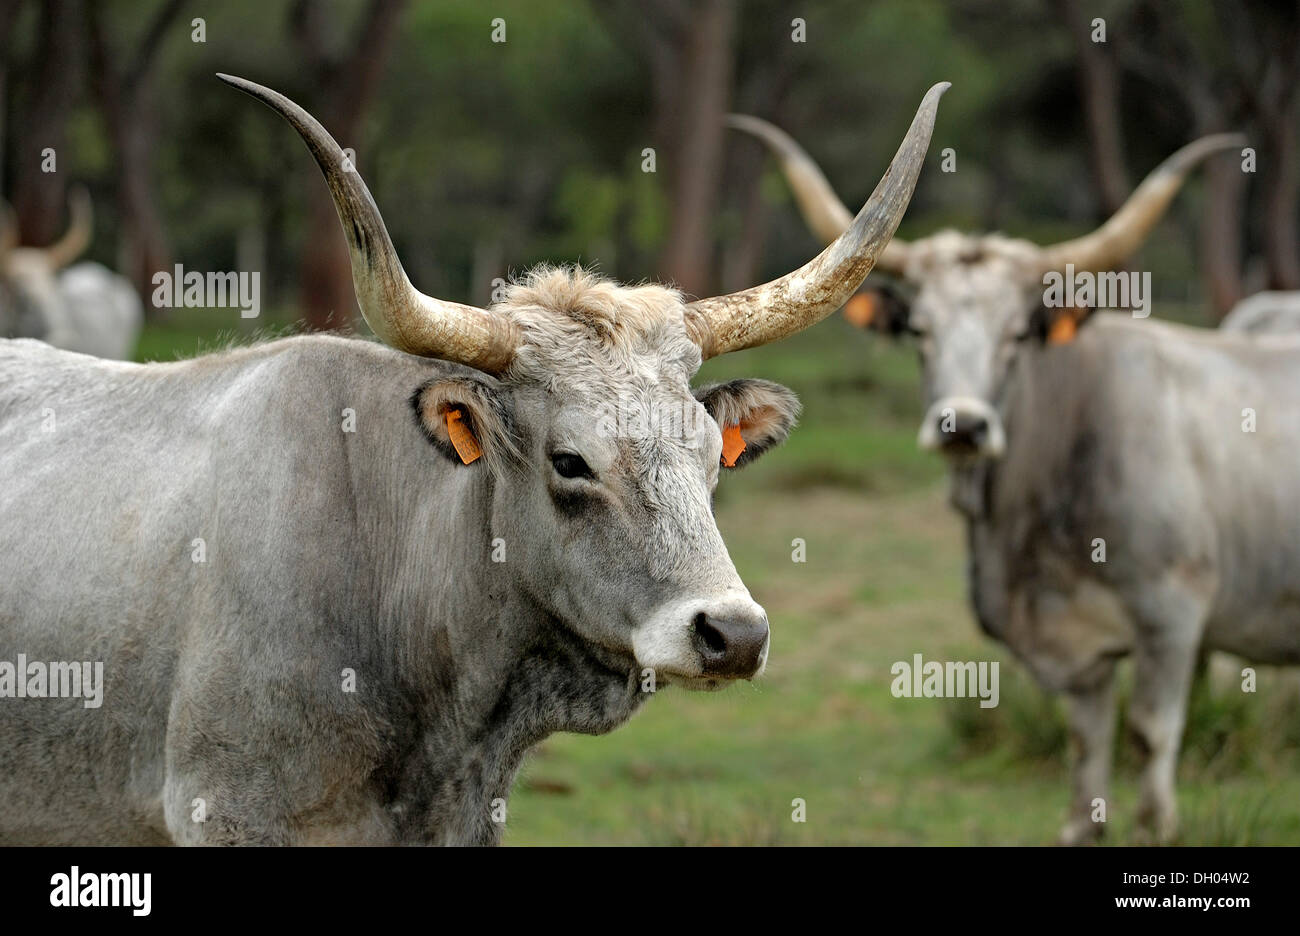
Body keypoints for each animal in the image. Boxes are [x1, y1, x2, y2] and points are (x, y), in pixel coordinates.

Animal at [732, 114, 1296, 844]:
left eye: (1018, 333)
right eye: (919, 330)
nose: (963, 426)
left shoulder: (1173, 617)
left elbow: (1149, 735)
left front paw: (1157, 827)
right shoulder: (1081, 659)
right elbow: (1086, 755)